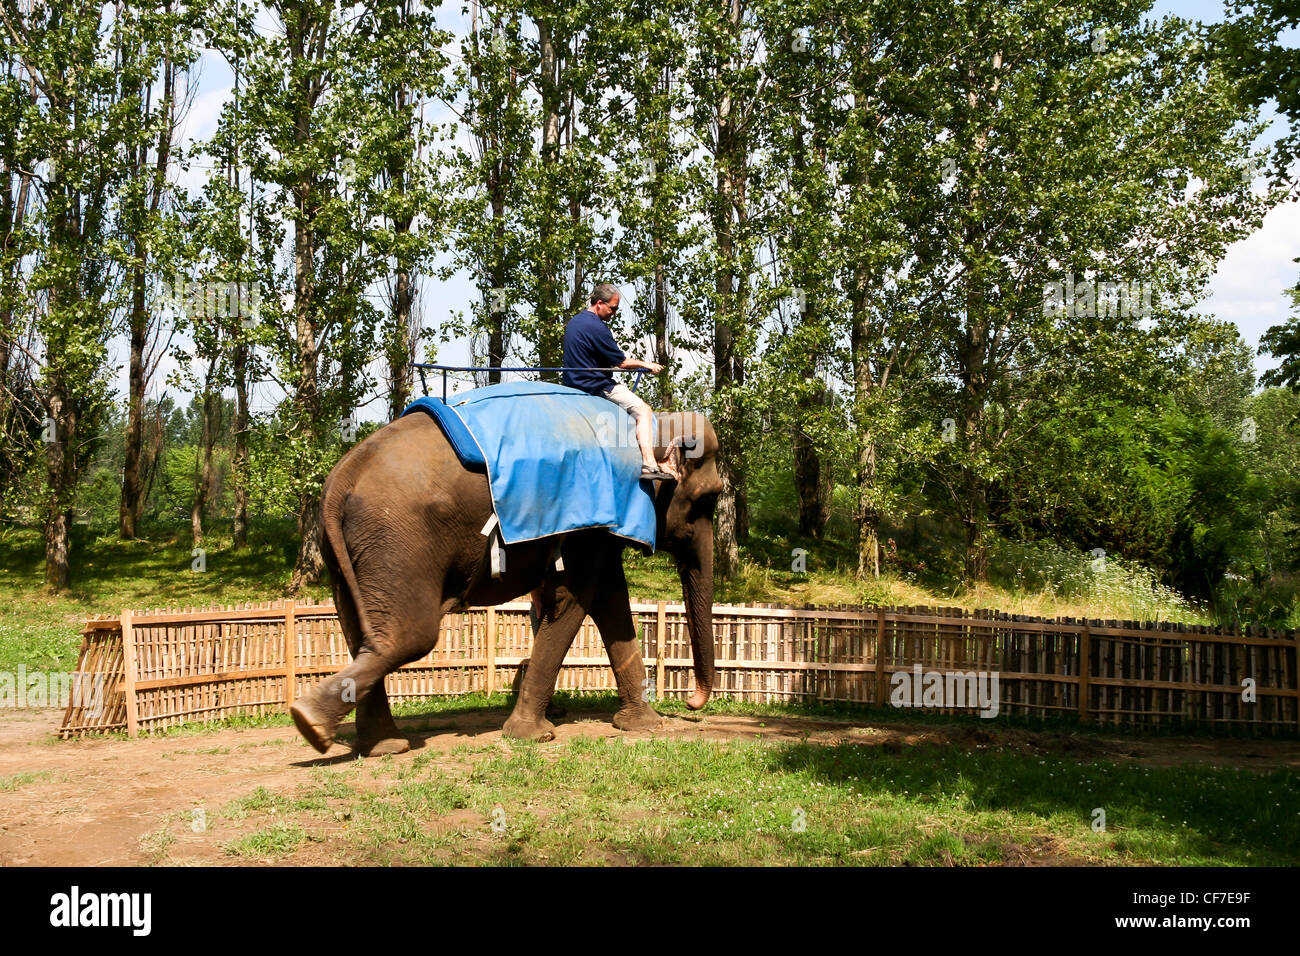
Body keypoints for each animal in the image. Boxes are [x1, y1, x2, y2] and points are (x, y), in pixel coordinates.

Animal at [288, 403, 723, 756]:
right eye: (708, 499)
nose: (690, 703)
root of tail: (341, 478)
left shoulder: (597, 532)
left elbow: (610, 600)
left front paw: (643, 726)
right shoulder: (589, 527)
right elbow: (576, 598)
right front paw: (533, 736)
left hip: (351, 551)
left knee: (362, 635)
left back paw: (376, 744)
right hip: (396, 541)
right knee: (408, 637)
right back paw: (310, 721)